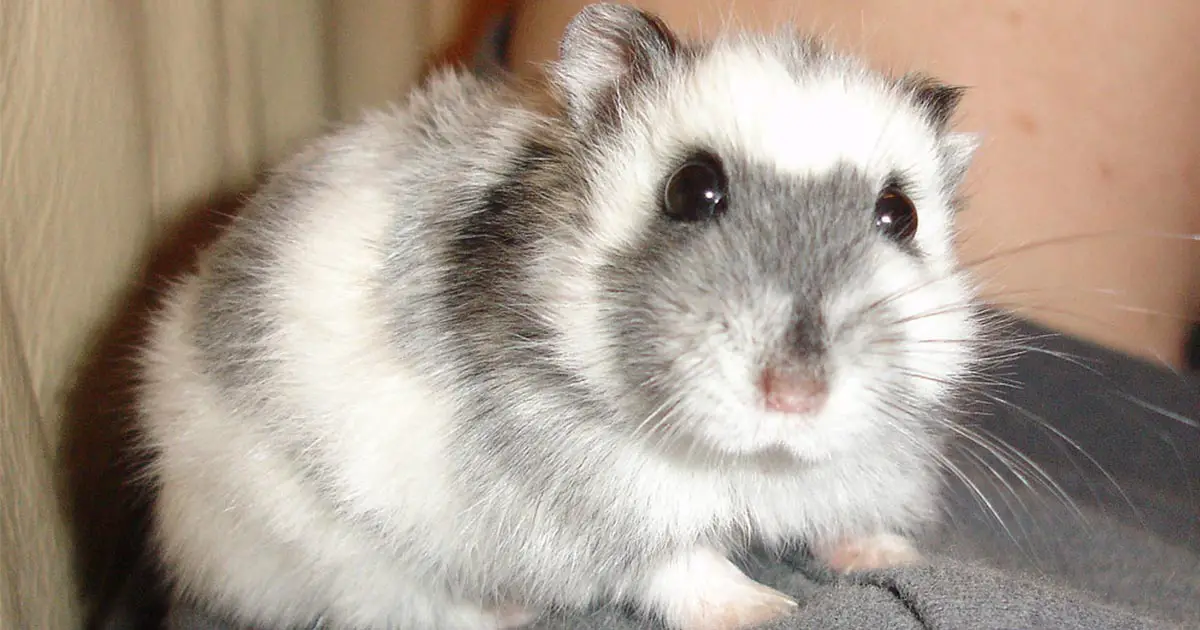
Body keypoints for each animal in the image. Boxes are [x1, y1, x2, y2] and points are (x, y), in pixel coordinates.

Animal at [135, 4, 983, 629]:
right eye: (691, 190)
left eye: (899, 215)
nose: (796, 396)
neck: (753, 461)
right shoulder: (586, 503)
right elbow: (677, 562)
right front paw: (765, 609)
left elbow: (848, 515)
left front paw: (892, 558)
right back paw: (504, 611)